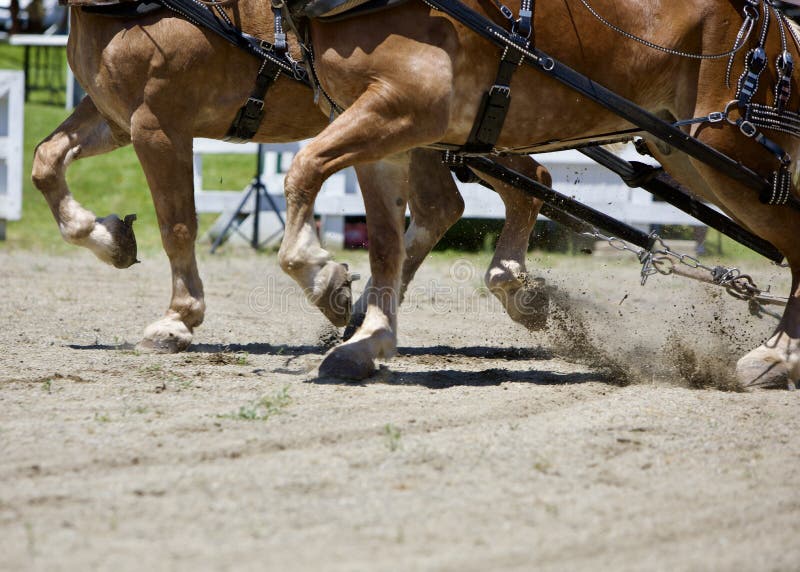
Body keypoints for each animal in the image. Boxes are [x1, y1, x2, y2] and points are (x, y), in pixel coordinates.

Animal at [32, 2, 549, 364]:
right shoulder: (114, 117)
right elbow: (45, 162)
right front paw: (108, 238)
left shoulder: (157, 123)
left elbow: (176, 226)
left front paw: (178, 320)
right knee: (447, 205)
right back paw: (365, 312)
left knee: (529, 184)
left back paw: (512, 287)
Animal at [277, 0, 800, 388]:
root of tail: (779, 26)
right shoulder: (380, 133)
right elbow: (385, 243)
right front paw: (367, 339)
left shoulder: (406, 107)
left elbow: (302, 169)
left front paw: (324, 278)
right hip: (680, 150)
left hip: (728, 154)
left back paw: (777, 357)